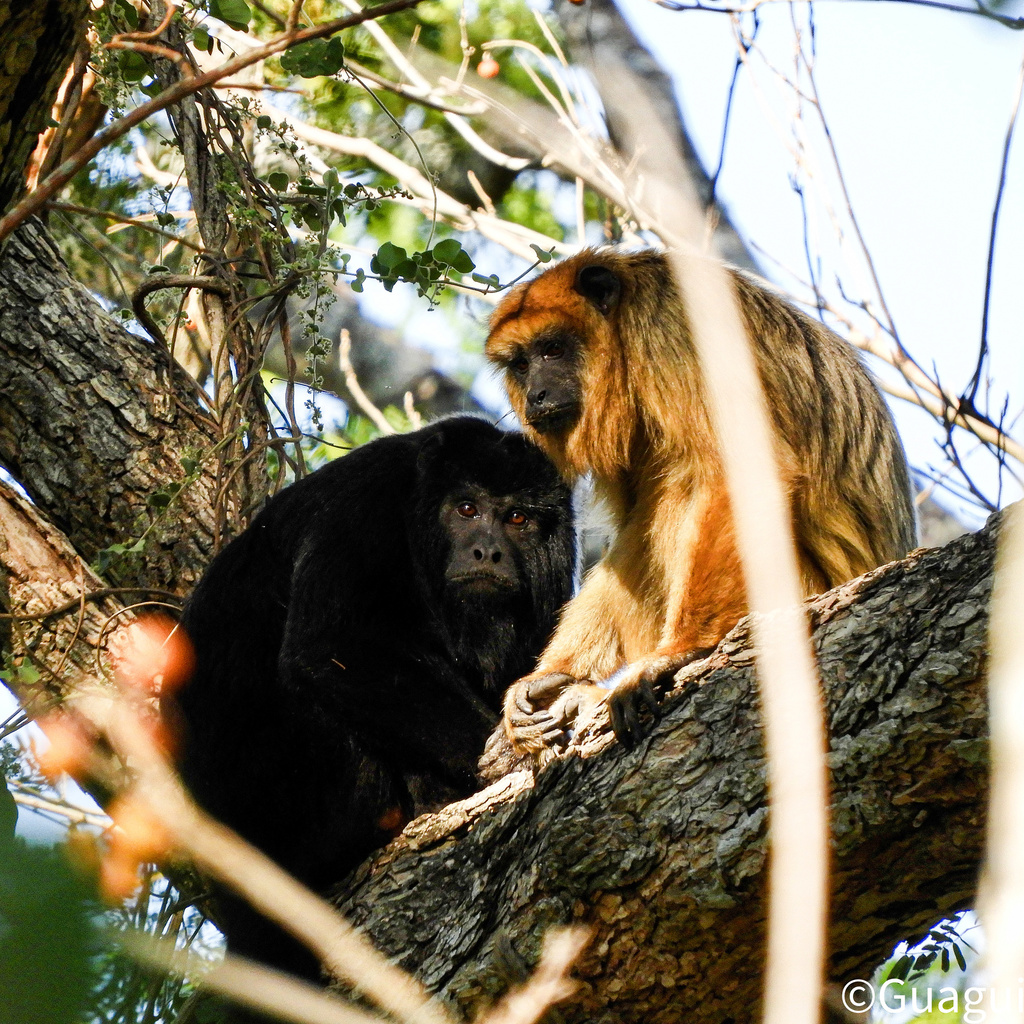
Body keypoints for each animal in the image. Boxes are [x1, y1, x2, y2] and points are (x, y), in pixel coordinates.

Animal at [170, 416, 575, 979]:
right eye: (466, 508)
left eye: (517, 518)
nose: (488, 552)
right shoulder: (365, 504)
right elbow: (331, 646)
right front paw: (506, 753)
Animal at [482, 246, 916, 761]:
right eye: (520, 364)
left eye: (551, 349)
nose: (536, 395)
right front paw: (554, 676)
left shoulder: (675, 331)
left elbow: (741, 473)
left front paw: (680, 652)